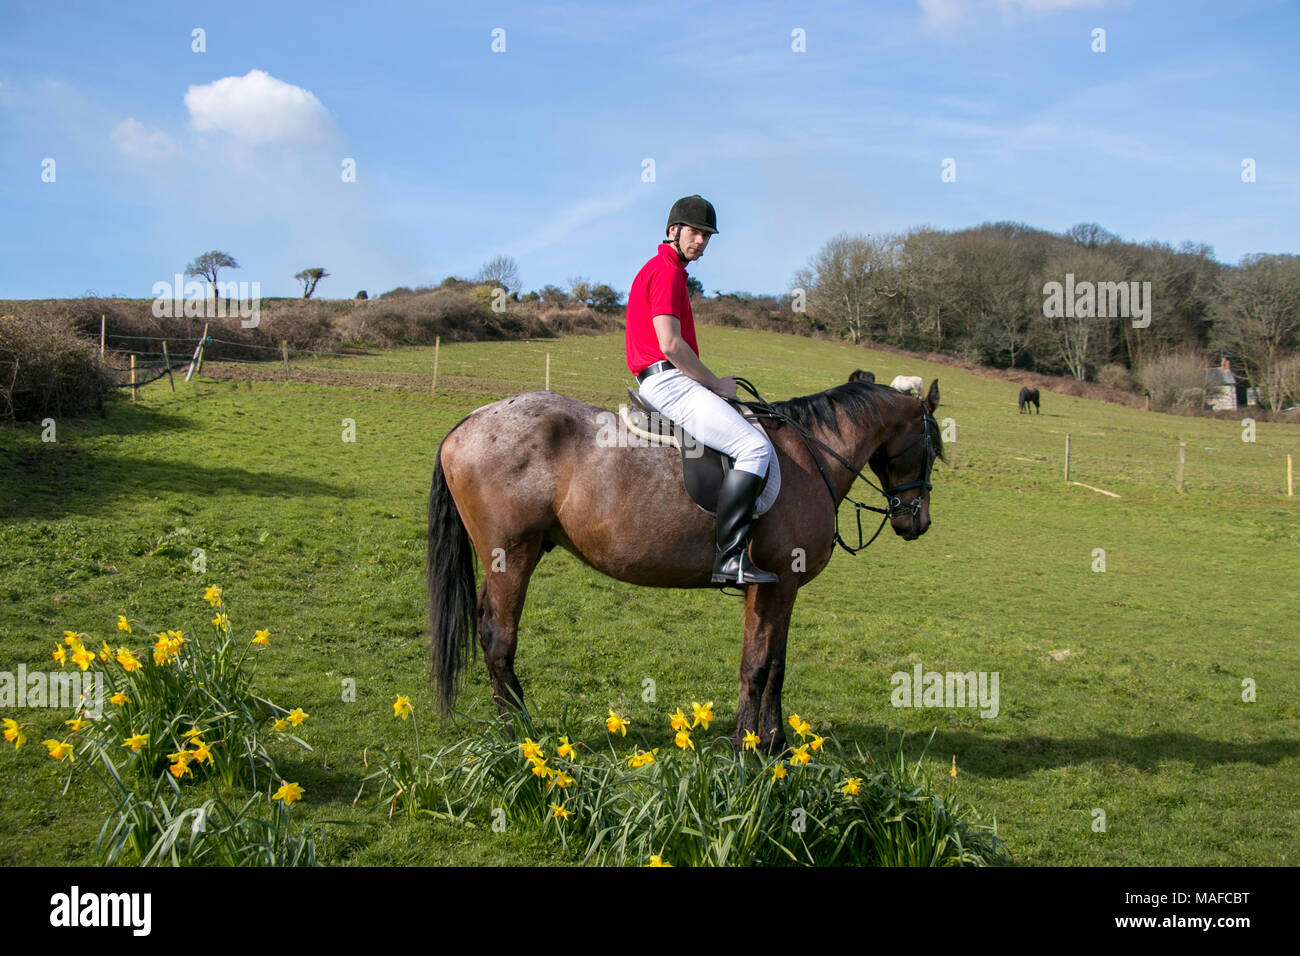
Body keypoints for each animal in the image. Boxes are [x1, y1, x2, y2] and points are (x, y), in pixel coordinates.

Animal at [427, 375, 943, 753]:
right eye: (932, 447)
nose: (917, 521)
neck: (810, 453)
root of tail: (469, 421)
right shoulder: (770, 584)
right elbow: (756, 665)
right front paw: (746, 747)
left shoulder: (785, 587)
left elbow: (776, 665)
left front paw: (775, 743)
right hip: (512, 556)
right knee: (499, 638)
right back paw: (521, 735)